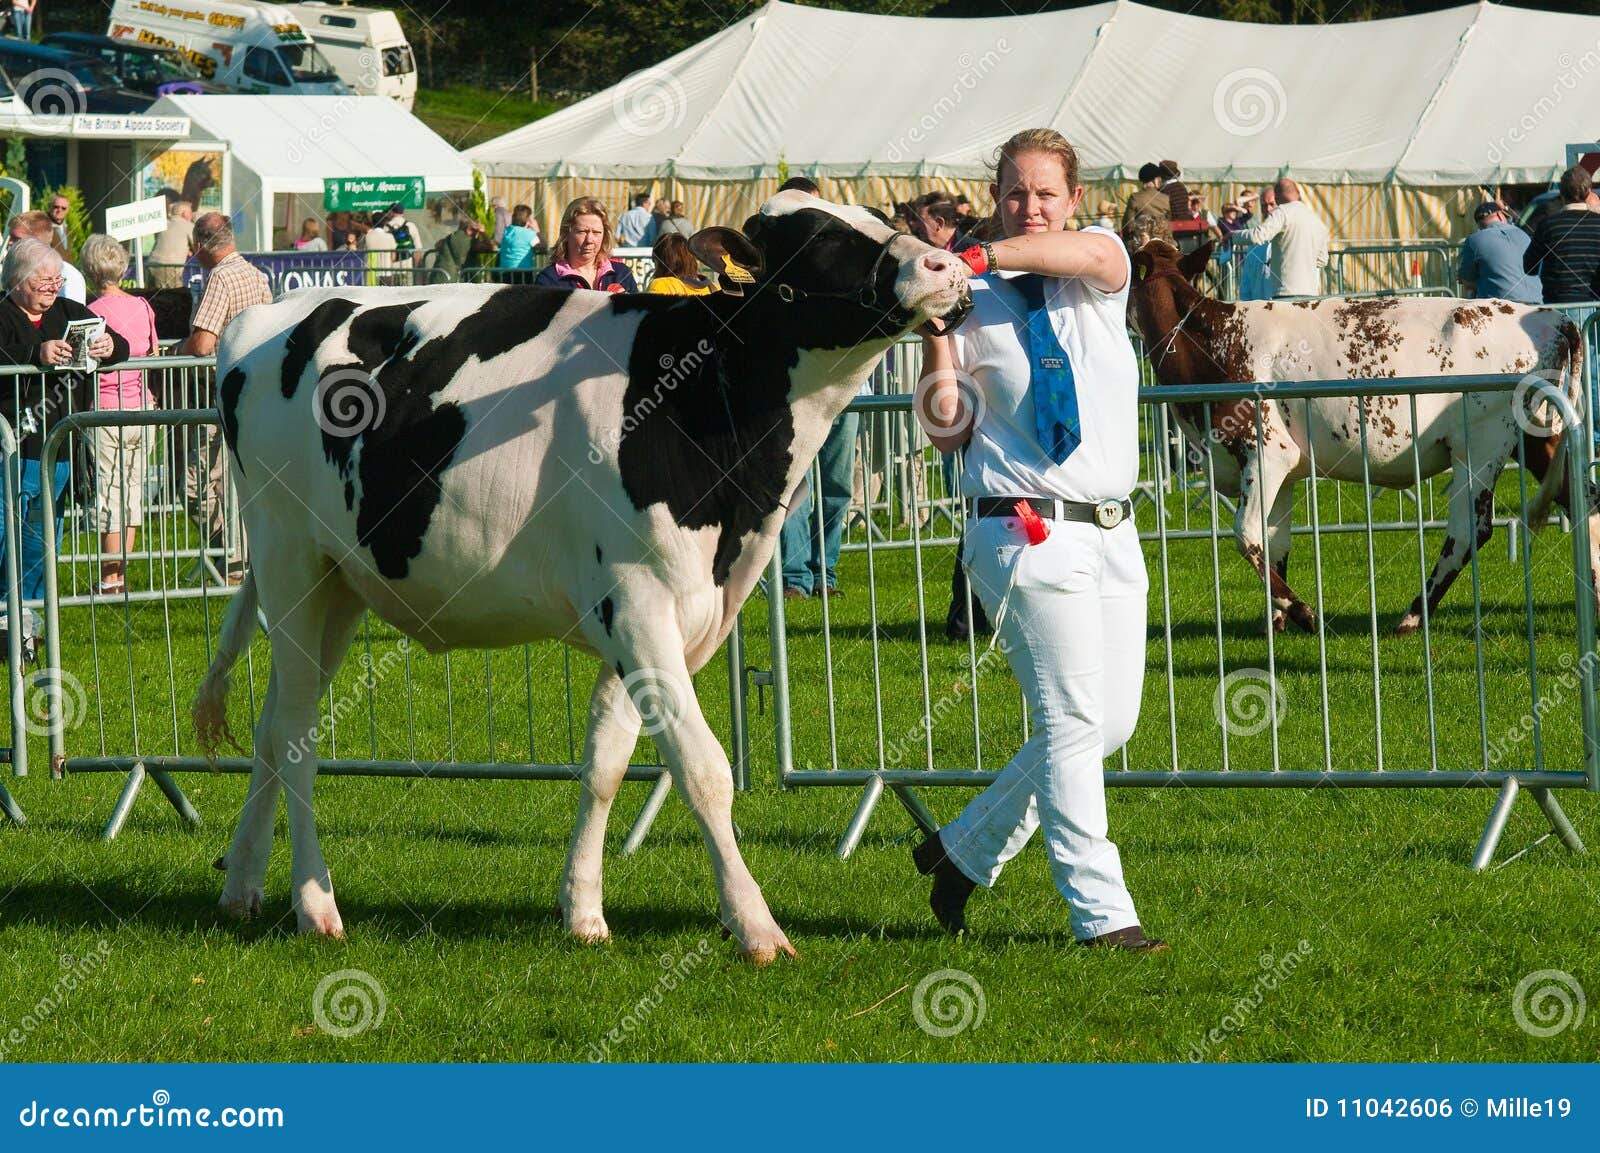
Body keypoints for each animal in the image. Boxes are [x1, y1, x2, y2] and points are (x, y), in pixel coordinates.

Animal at [190, 192, 973, 963]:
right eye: (818, 239)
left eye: (882, 217)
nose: (951, 267)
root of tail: (266, 319)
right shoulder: (643, 606)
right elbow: (703, 768)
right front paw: (755, 925)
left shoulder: (647, 618)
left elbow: (604, 765)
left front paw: (584, 910)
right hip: (290, 562)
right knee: (295, 734)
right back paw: (315, 905)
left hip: (341, 583)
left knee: (269, 727)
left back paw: (242, 885)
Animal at [1127, 239, 1592, 635]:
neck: (1209, 340)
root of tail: (1552, 317)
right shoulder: (1282, 471)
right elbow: (1275, 541)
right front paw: (1275, 622)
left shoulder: (1265, 452)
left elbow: (1247, 535)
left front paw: (1304, 613)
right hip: (1536, 440)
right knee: (1583, 497)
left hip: (1481, 445)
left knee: (1468, 531)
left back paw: (1412, 616)